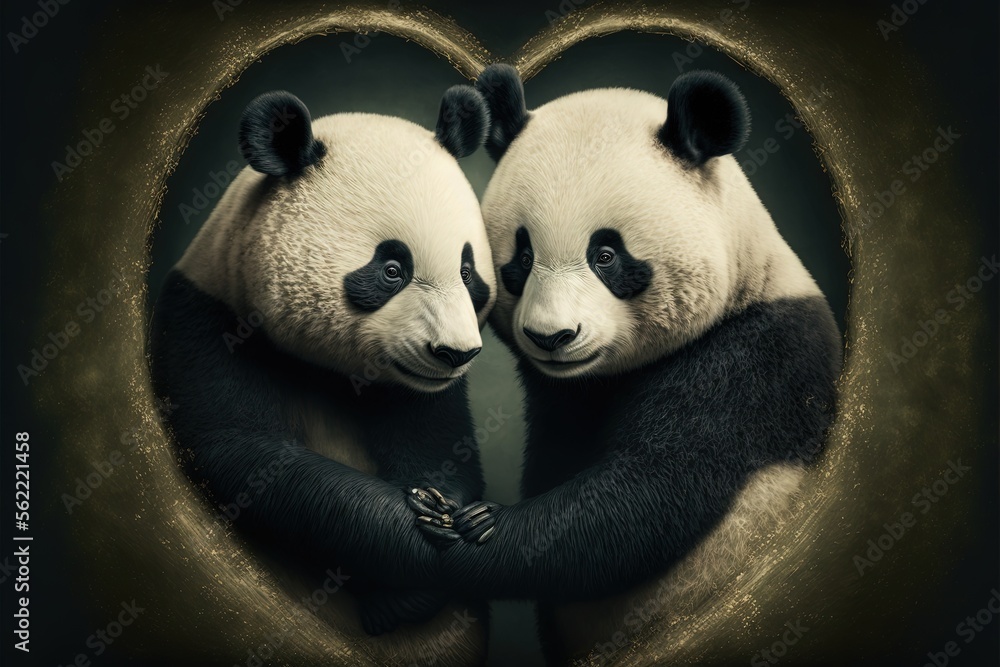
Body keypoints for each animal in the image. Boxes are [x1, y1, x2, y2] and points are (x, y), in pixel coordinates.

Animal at [149, 86, 498, 665]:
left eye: (468, 273)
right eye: (391, 269)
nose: (454, 353)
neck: (333, 370)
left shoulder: (421, 392)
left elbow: (439, 444)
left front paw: (453, 517)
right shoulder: (208, 322)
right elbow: (248, 456)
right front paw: (417, 529)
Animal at [409, 65, 843, 665]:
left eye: (606, 255)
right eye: (523, 257)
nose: (552, 337)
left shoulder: (758, 361)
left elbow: (648, 499)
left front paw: (478, 525)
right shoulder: (560, 398)